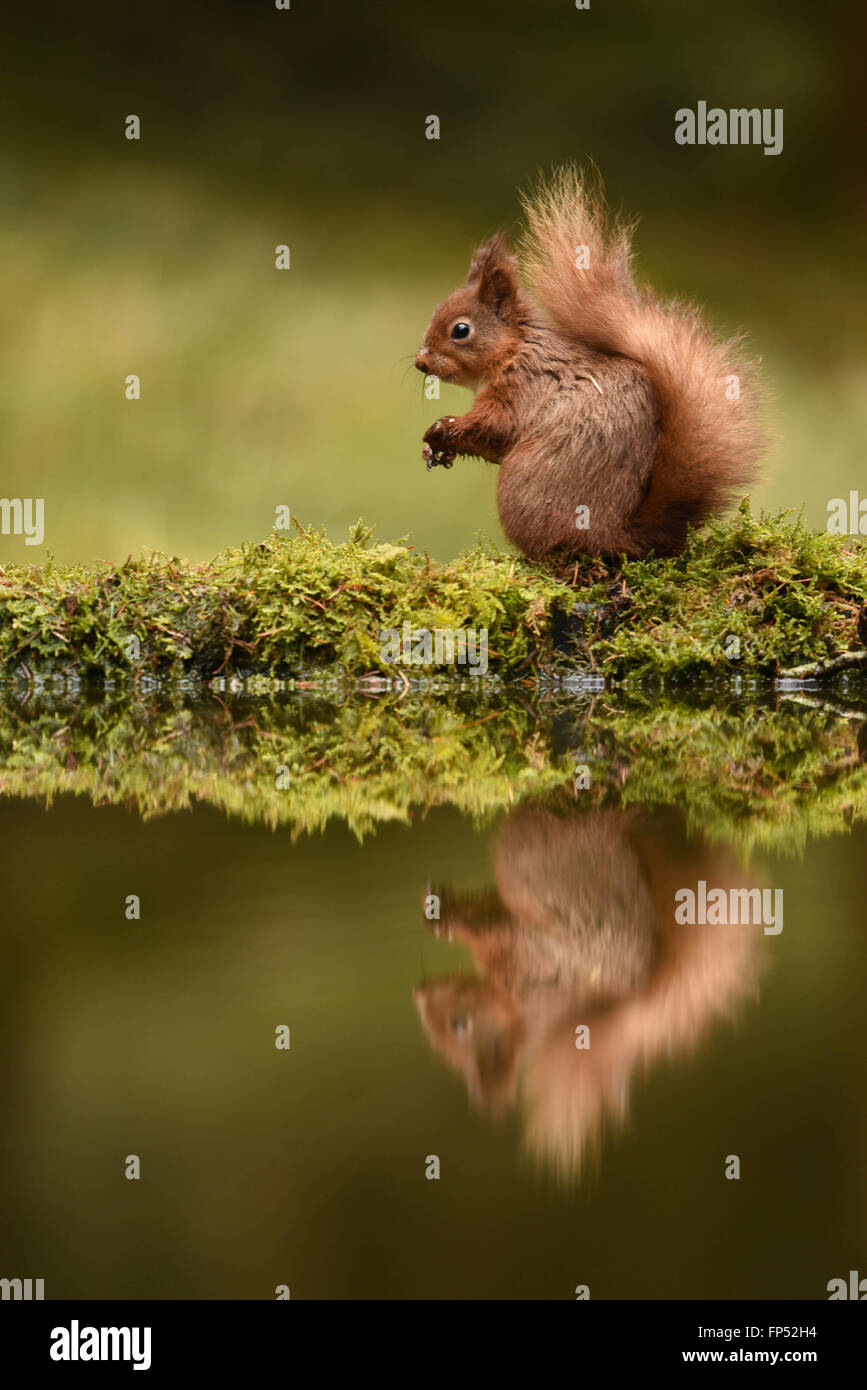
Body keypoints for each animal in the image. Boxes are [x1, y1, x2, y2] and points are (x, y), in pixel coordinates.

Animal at [415, 168, 766, 560]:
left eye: (460, 330)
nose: (420, 362)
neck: (515, 348)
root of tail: (618, 537)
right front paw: (437, 447)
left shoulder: (526, 383)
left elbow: (497, 426)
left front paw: (443, 428)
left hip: (522, 484)